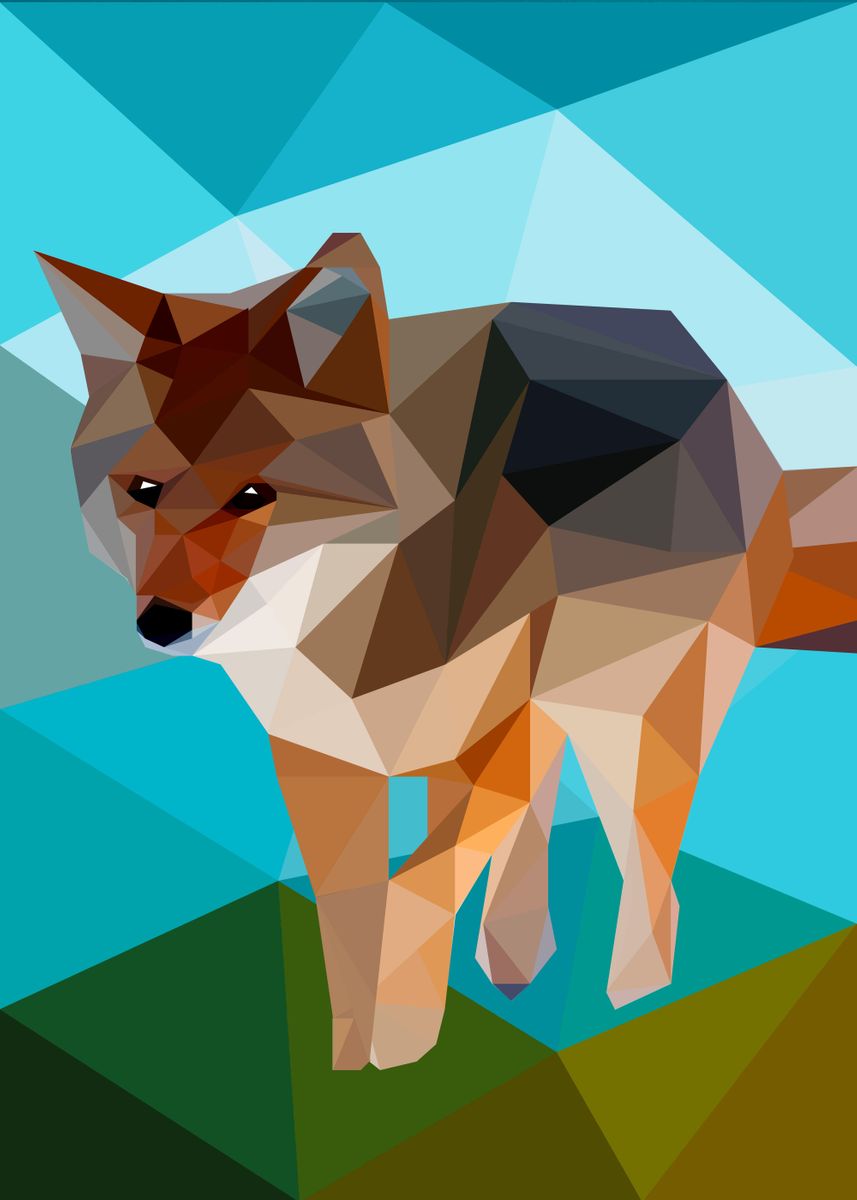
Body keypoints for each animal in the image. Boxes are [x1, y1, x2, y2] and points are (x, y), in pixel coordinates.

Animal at [38, 234, 857, 1070]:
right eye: (143, 489)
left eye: (255, 497)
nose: (162, 623)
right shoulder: (324, 769)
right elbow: (351, 922)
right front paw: (350, 1055)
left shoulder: (484, 753)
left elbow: (413, 894)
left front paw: (398, 1034)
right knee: (540, 820)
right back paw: (515, 961)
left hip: (626, 731)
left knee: (652, 876)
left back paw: (630, 1001)